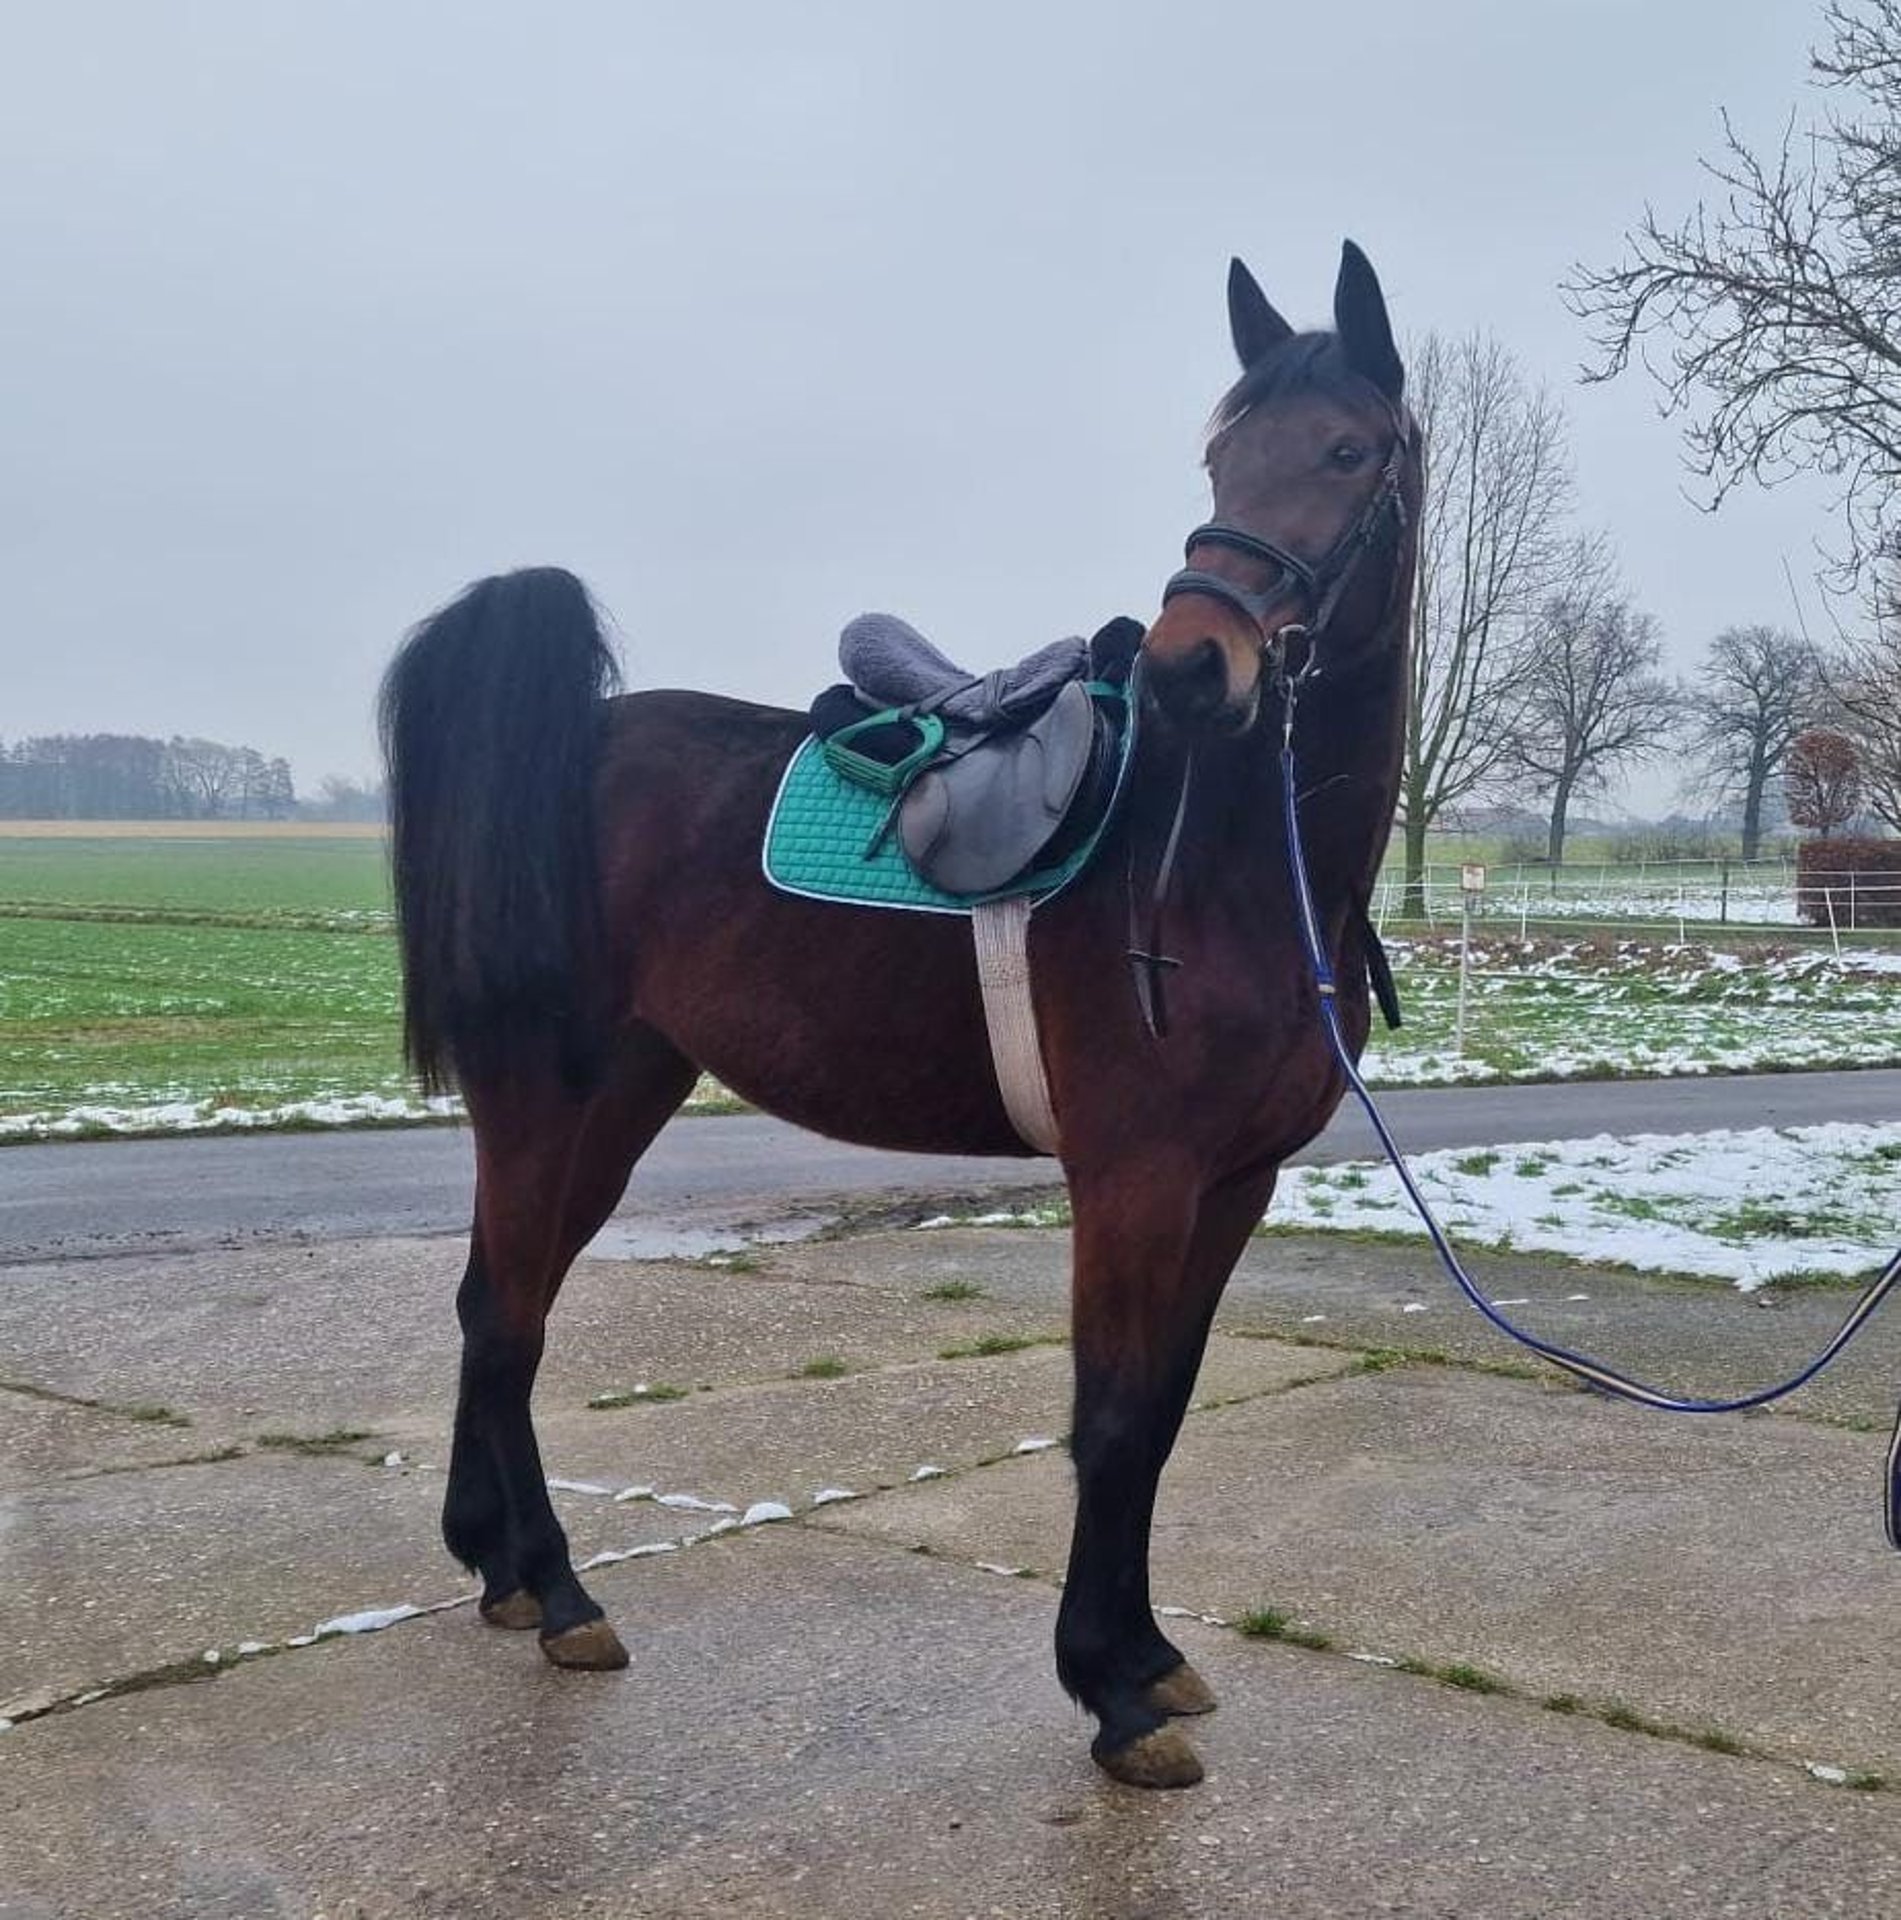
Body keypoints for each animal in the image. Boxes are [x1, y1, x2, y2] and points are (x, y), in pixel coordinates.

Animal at [378, 240, 1421, 1790]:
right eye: (1221, 455)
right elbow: (1112, 1419)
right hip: (542, 1095)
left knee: (496, 1299)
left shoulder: (1232, 1181)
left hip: (617, 1099)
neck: (1229, 865)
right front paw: (1105, 1690)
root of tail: (569, 745)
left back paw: (503, 1569)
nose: (1192, 665)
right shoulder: (1135, 1179)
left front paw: (1147, 1659)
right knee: (508, 1319)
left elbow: (1166, 1411)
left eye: (1348, 451)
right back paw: (563, 1591)